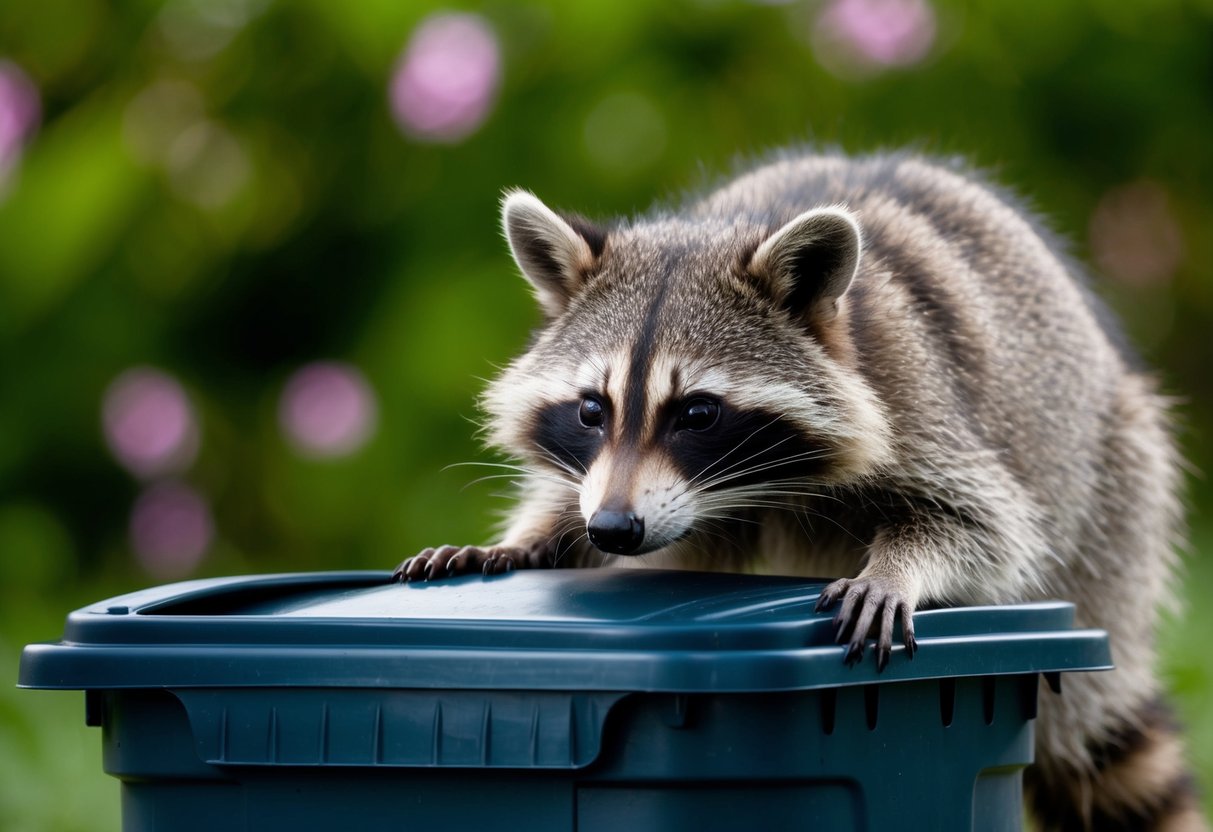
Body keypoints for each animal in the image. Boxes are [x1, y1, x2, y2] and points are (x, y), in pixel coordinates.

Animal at [394, 151, 1206, 830]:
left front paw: (897, 568)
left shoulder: (920, 401)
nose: (615, 530)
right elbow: (569, 493)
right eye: (592, 409)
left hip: (1114, 494)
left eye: (697, 414)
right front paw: (527, 538)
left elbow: (984, 526)